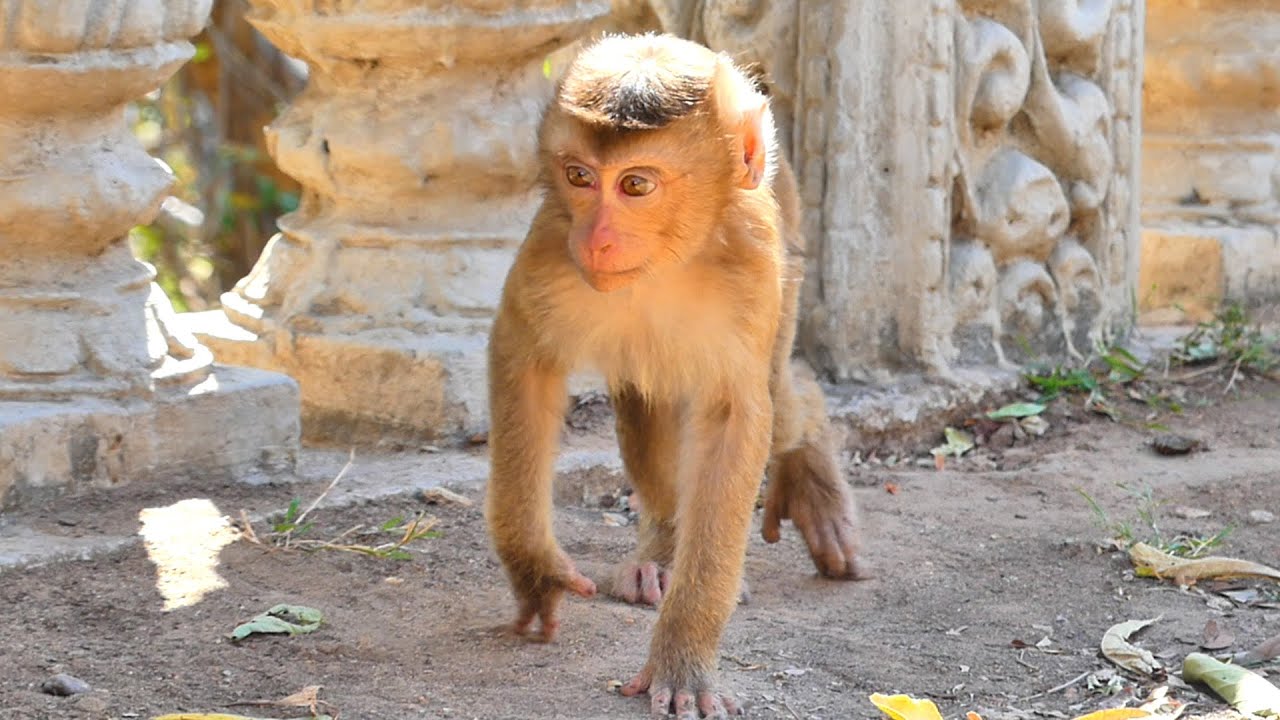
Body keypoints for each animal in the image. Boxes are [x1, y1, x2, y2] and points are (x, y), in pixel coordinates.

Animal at [484, 33, 864, 719]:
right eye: (579, 177)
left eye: (636, 184)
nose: (597, 239)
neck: (668, 262)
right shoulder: (551, 247)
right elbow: (524, 357)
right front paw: (535, 572)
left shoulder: (753, 268)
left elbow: (736, 416)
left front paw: (685, 654)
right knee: (648, 388)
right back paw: (662, 549)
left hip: (790, 262)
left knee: (782, 397)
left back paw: (813, 477)